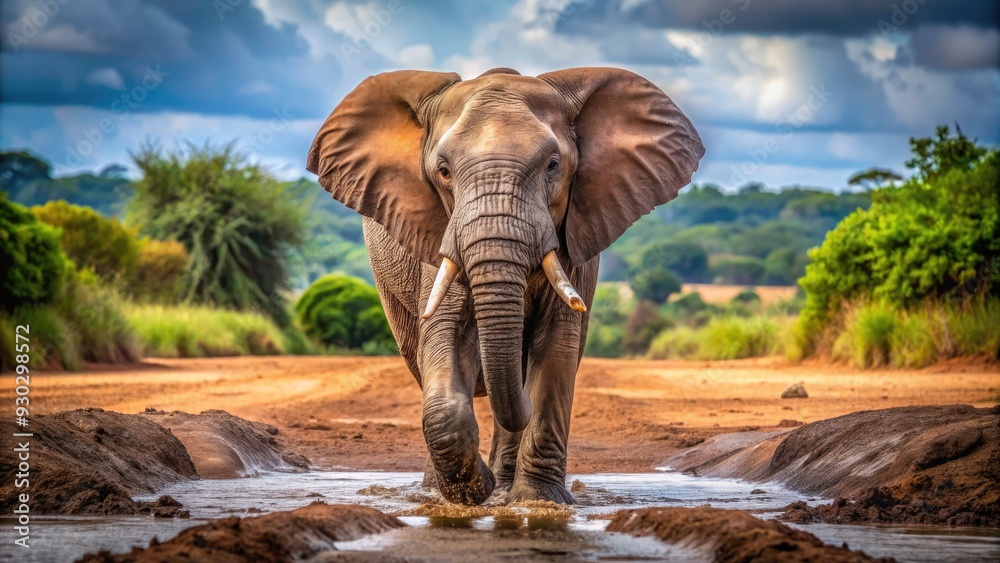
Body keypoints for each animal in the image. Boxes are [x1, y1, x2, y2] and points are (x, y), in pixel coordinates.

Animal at [306, 67, 704, 505]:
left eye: (552, 165)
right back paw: (441, 489)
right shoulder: (442, 234)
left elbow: (556, 347)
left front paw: (537, 501)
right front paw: (472, 492)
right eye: (443, 171)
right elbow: (445, 336)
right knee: (423, 360)